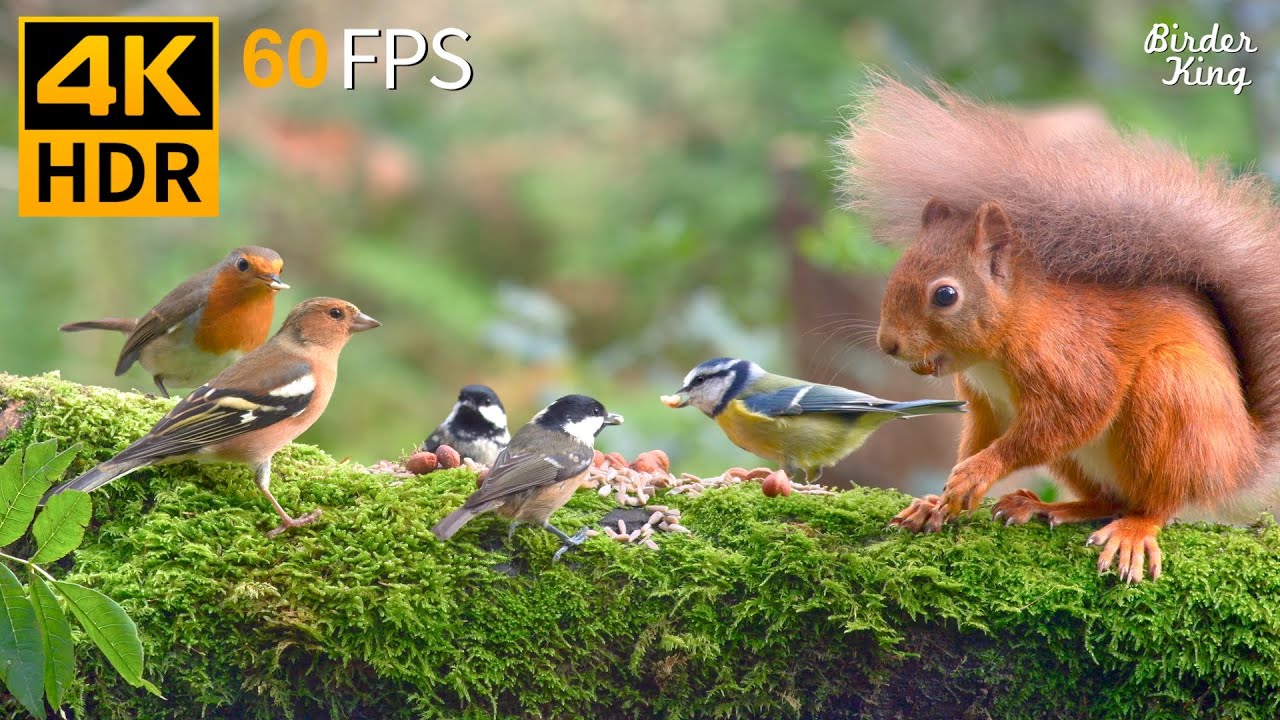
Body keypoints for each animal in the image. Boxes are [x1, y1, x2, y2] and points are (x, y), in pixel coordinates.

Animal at [840, 75, 1280, 583]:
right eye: (896, 272)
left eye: (945, 295)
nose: (888, 344)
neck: (1006, 338)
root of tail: (1240, 462)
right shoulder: (989, 404)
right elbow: (979, 436)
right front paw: (937, 500)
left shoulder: (1070, 363)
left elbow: (1065, 419)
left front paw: (975, 474)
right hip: (1082, 461)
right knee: (1110, 498)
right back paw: (1049, 508)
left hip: (1174, 392)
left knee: (1158, 501)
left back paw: (1134, 530)